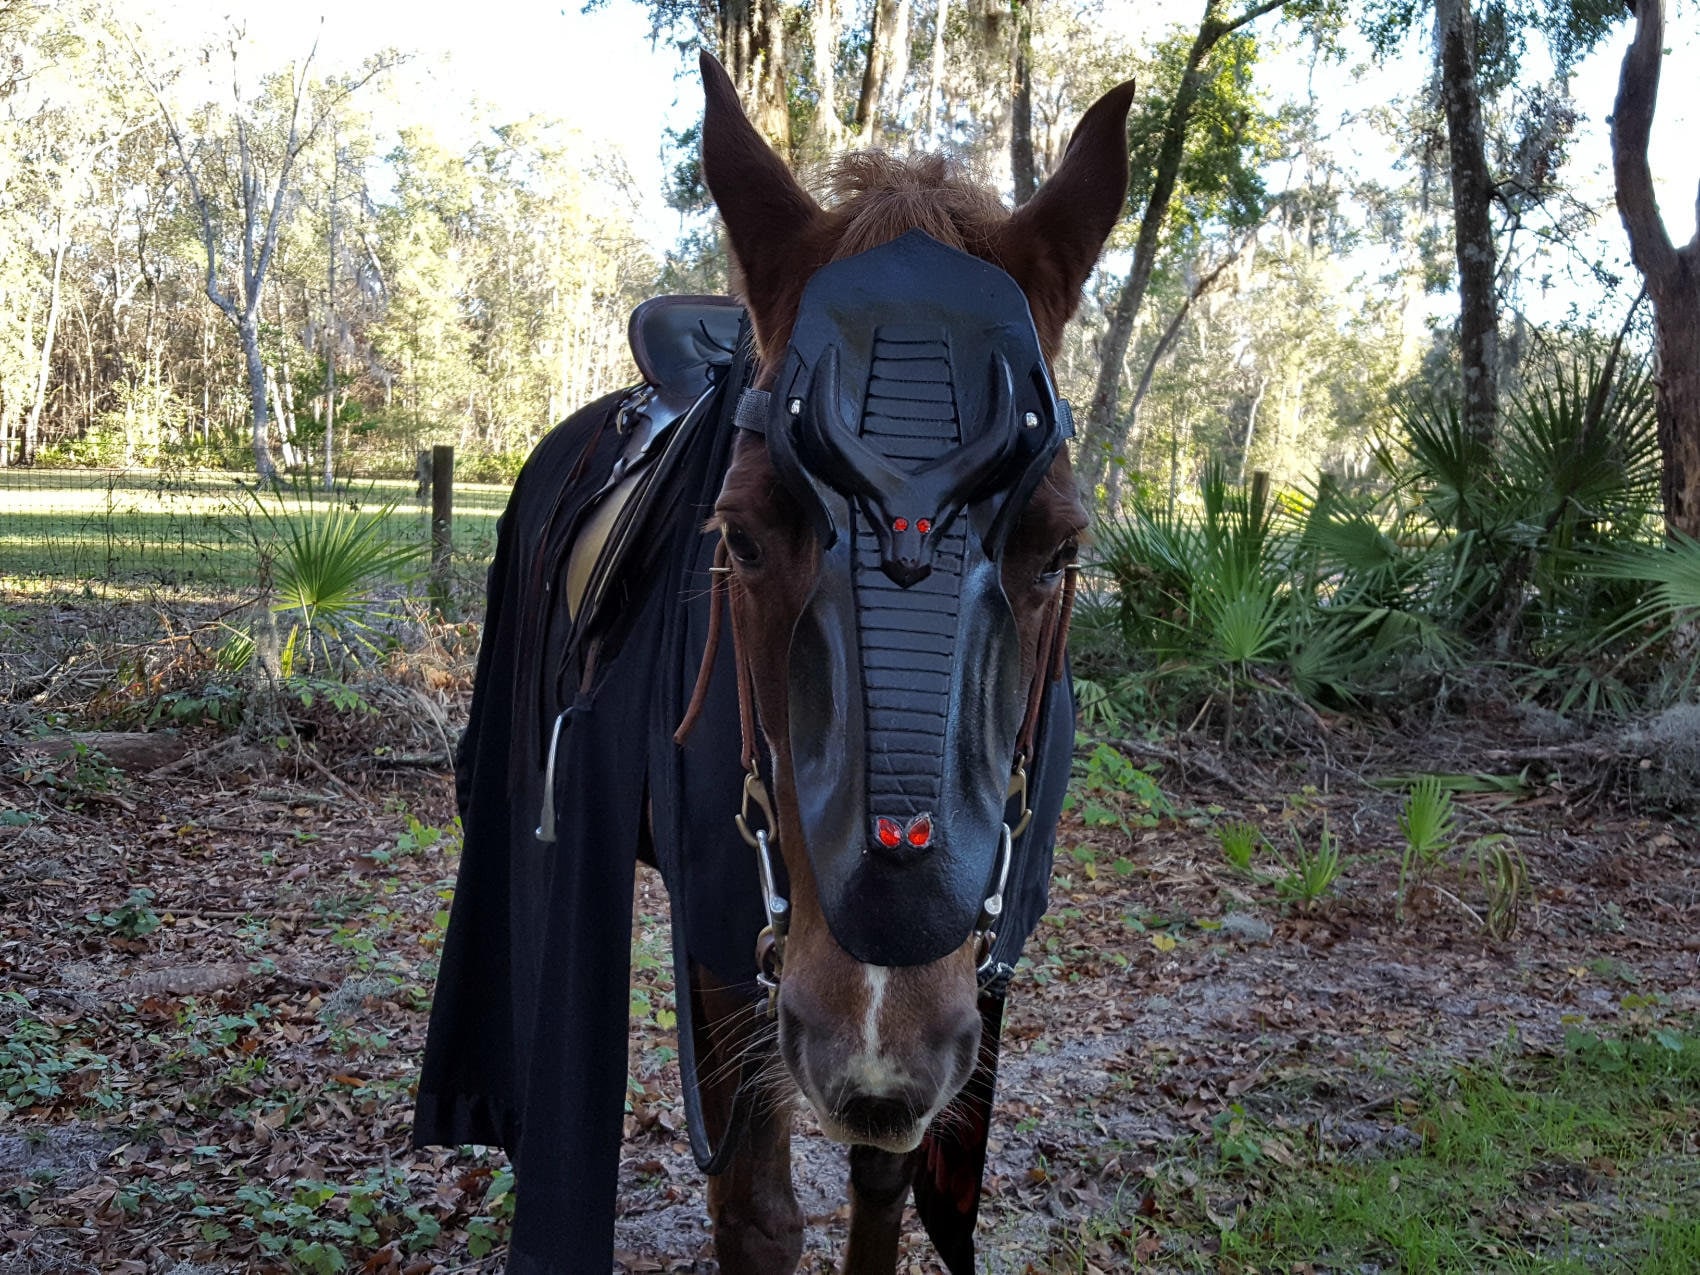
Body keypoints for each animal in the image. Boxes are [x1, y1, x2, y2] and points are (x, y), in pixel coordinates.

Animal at [414, 53, 1136, 1275]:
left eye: (1059, 551)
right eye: (742, 539)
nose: (875, 1047)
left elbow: (883, 1184)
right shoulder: (727, 942)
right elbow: (757, 1216)